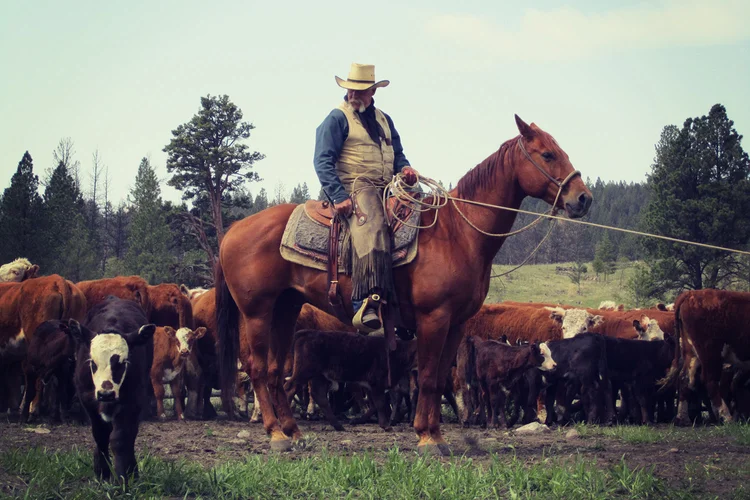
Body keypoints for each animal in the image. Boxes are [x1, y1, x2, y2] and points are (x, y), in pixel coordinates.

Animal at [67, 296, 155, 482]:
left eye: (122, 363)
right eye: (92, 362)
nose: (106, 393)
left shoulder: (133, 400)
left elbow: (121, 438)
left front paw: (122, 477)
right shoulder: (87, 398)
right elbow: (100, 434)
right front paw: (102, 471)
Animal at [284, 329, 417, 432]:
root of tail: (307, 332)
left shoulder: (371, 385)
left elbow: (374, 405)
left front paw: (359, 420)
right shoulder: (376, 383)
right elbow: (380, 403)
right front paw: (386, 426)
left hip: (319, 376)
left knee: (319, 397)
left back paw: (338, 426)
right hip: (304, 371)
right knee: (289, 388)